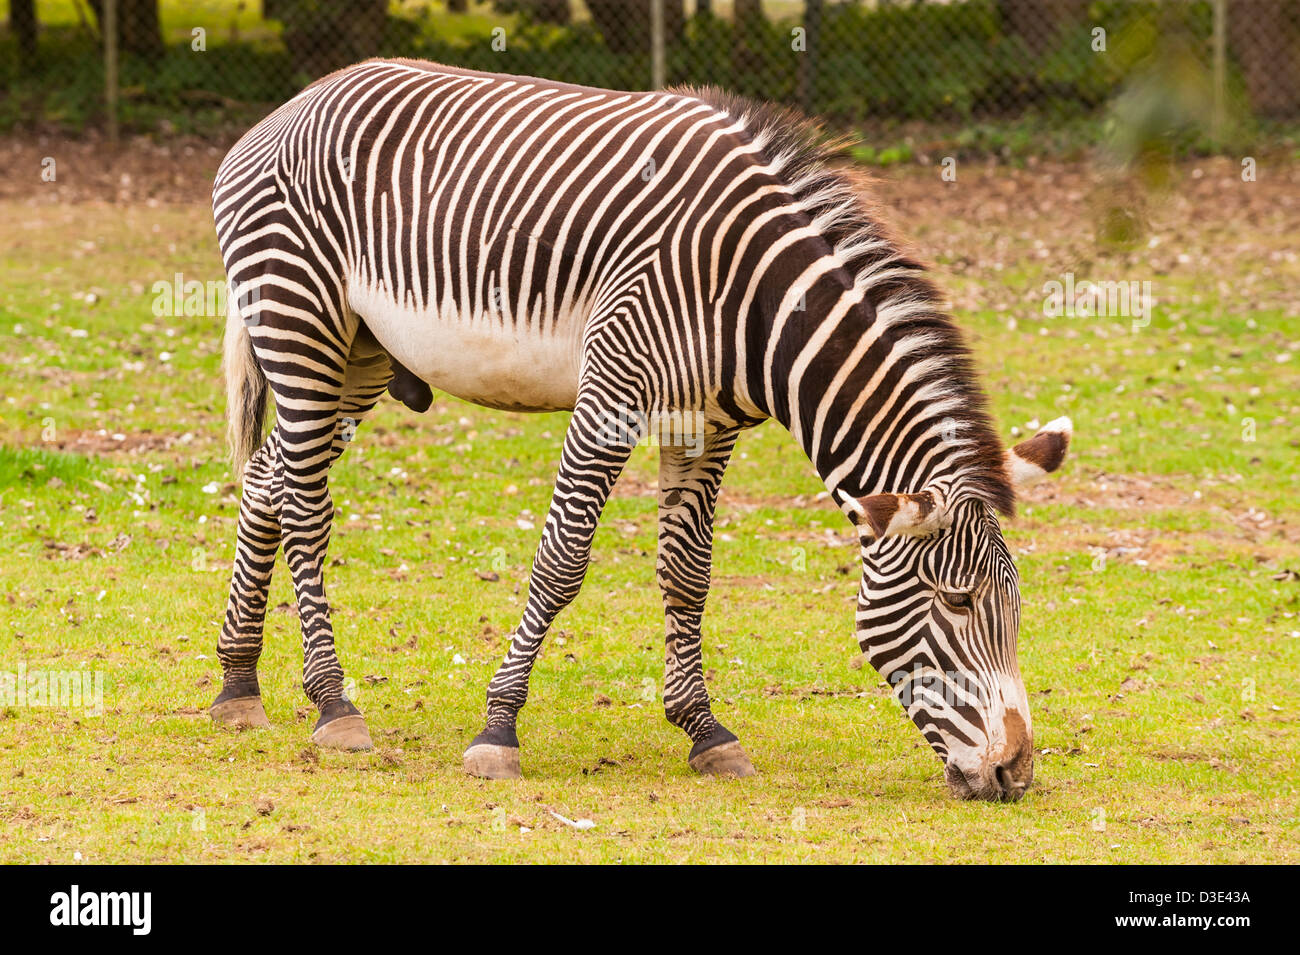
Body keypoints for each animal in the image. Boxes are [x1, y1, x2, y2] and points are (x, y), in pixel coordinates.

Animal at [210, 58, 1072, 801]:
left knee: (270, 479)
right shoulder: (611, 393)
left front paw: (705, 730)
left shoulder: (709, 423)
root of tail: (295, 103)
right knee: (304, 503)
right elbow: (561, 562)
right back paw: (333, 703)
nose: (1016, 772)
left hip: (359, 353)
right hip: (300, 319)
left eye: (1015, 601)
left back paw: (238, 684)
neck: (754, 296)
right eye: (957, 601)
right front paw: (498, 728)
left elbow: (688, 572)